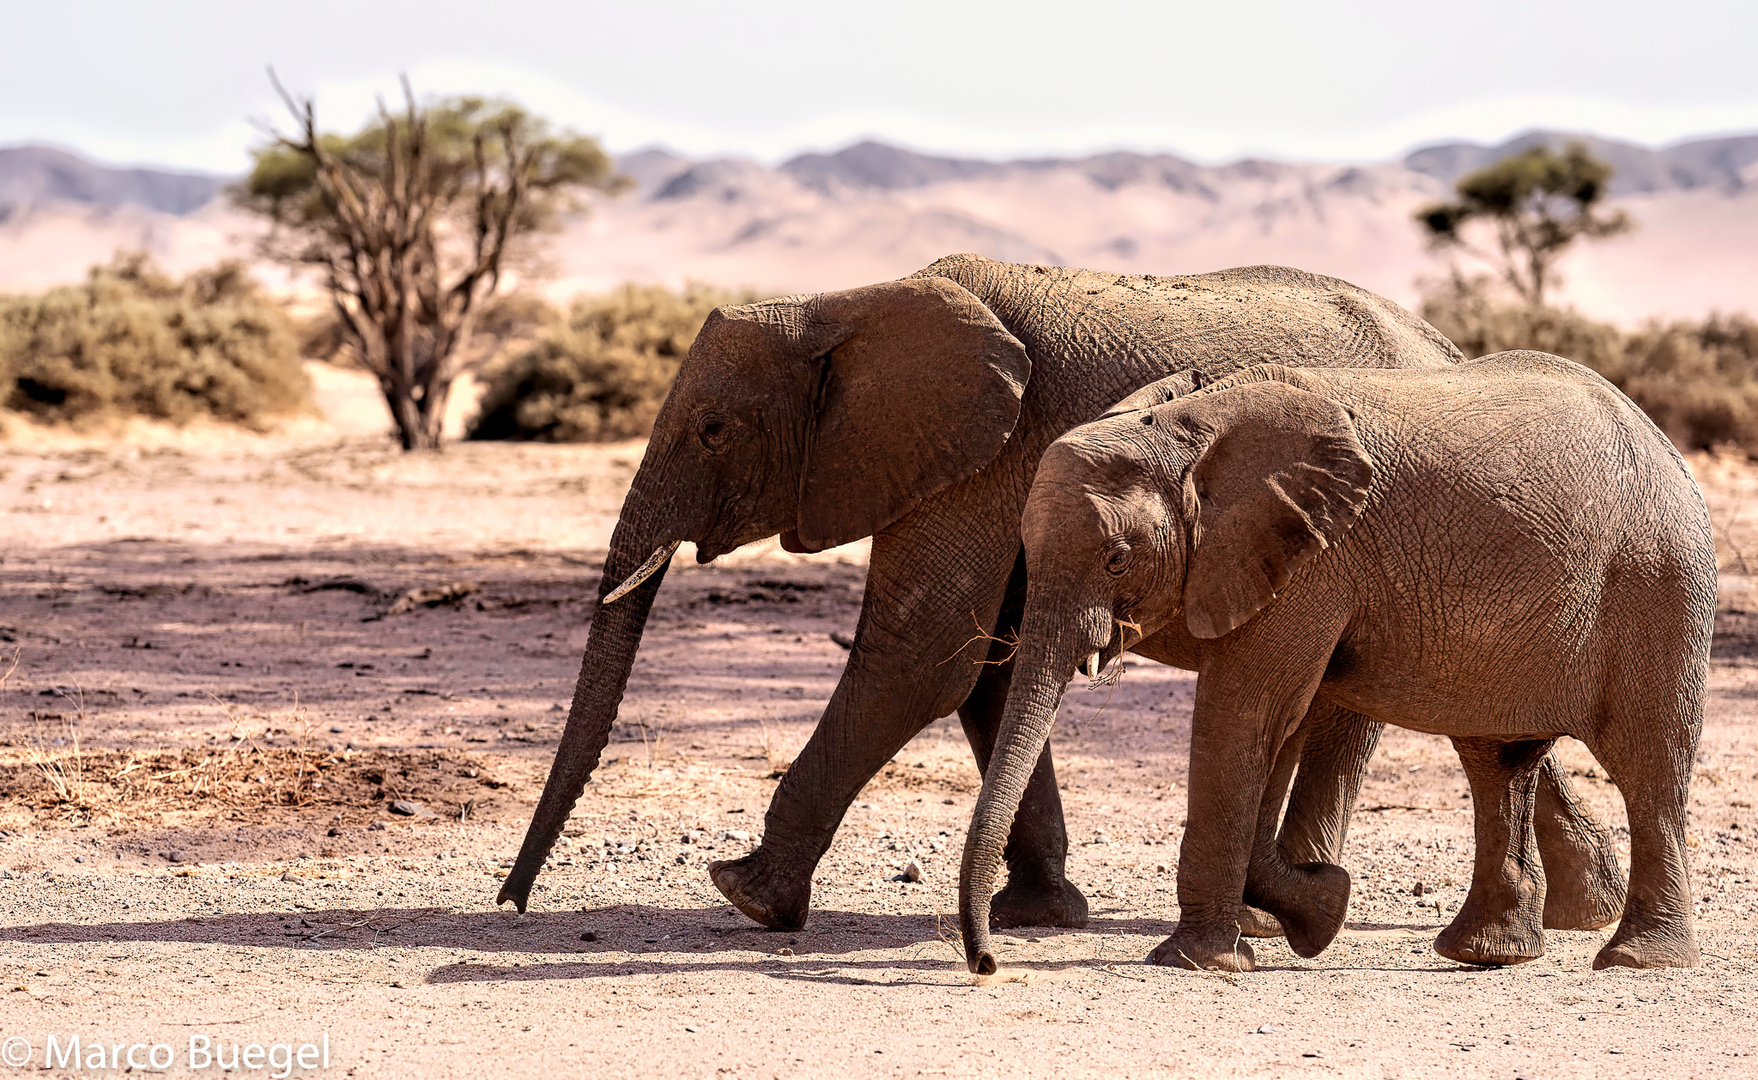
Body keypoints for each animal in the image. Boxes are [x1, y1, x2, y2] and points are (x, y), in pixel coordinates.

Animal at [494, 254, 1622, 938]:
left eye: (714, 431)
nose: (511, 902)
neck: (846, 303)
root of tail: (1451, 348)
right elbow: (987, 663)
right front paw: (1041, 911)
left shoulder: (984, 452)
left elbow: (923, 651)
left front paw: (746, 895)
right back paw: (1586, 915)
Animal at [958, 353, 1714, 975]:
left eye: (1117, 558)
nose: (987, 964)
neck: (1185, 430)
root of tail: (1661, 440)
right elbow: (1279, 726)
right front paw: (1319, 909)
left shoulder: (1313, 561)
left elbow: (1247, 712)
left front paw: (1198, 960)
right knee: (1498, 761)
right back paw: (1487, 953)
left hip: (1659, 585)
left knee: (1648, 765)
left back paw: (1638, 961)